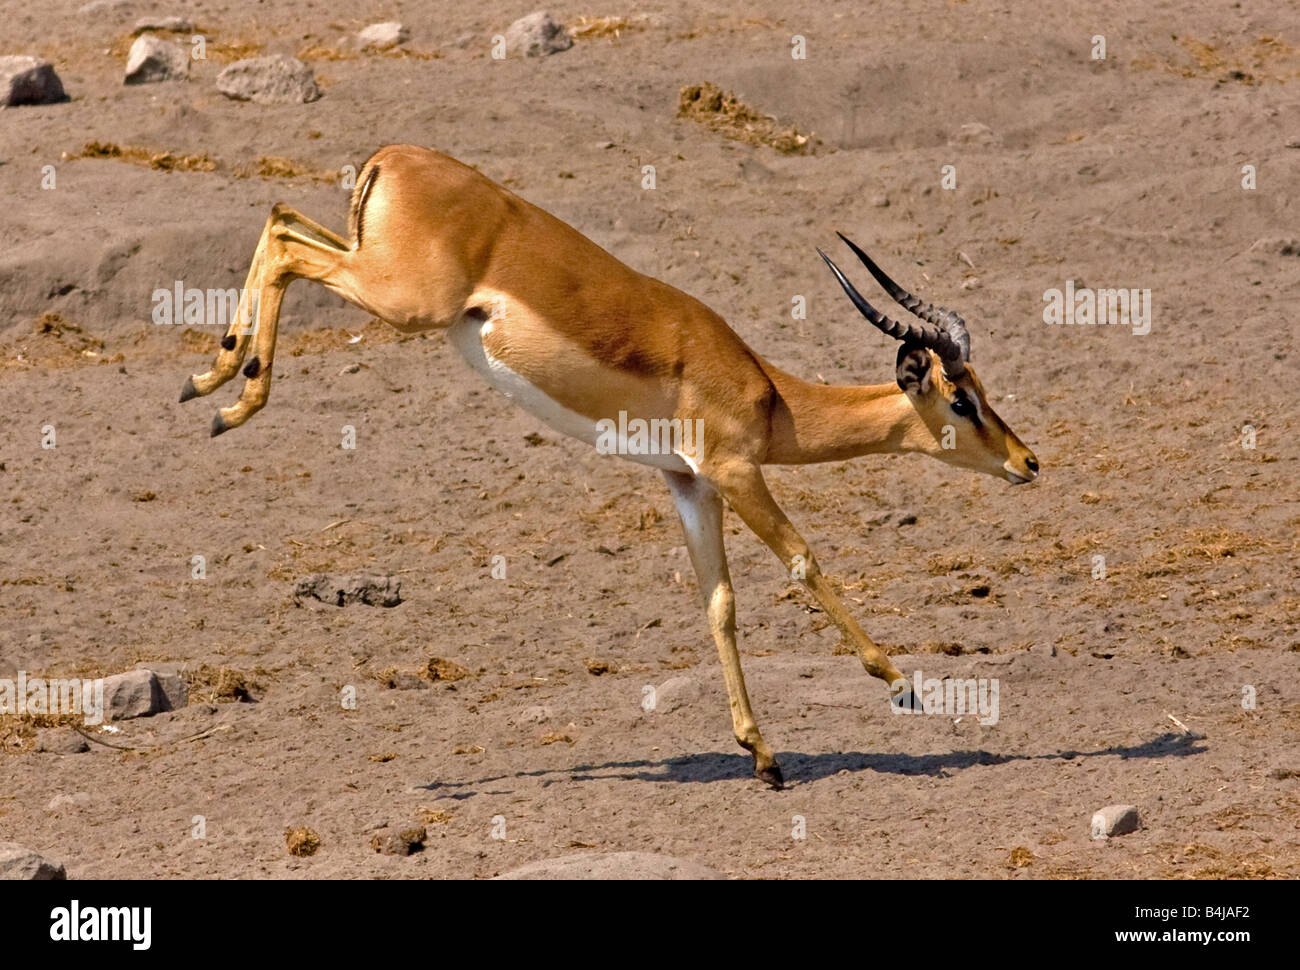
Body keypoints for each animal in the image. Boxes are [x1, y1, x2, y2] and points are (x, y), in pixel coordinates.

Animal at [179, 145, 1039, 789]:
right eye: (960, 399)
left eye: (984, 390)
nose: (1029, 461)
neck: (767, 394)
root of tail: (396, 155)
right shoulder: (736, 472)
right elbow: (802, 560)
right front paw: (901, 683)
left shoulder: (688, 483)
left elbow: (718, 605)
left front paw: (763, 757)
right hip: (402, 299)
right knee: (288, 249)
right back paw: (233, 398)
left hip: (375, 270)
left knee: (282, 219)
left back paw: (215, 377)